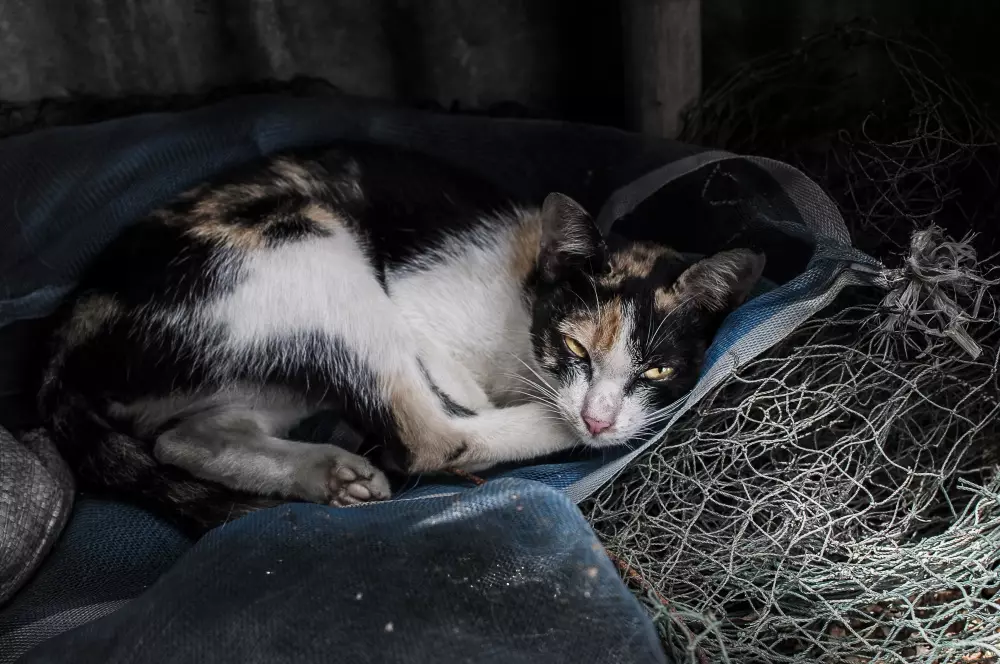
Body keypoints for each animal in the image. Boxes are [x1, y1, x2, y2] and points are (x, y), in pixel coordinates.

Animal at [35, 141, 760, 536]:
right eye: (577, 349)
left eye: (657, 371)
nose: (599, 418)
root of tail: (66, 334)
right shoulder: (409, 305)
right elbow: (447, 384)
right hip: (304, 246)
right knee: (428, 434)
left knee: (182, 438)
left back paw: (329, 474)